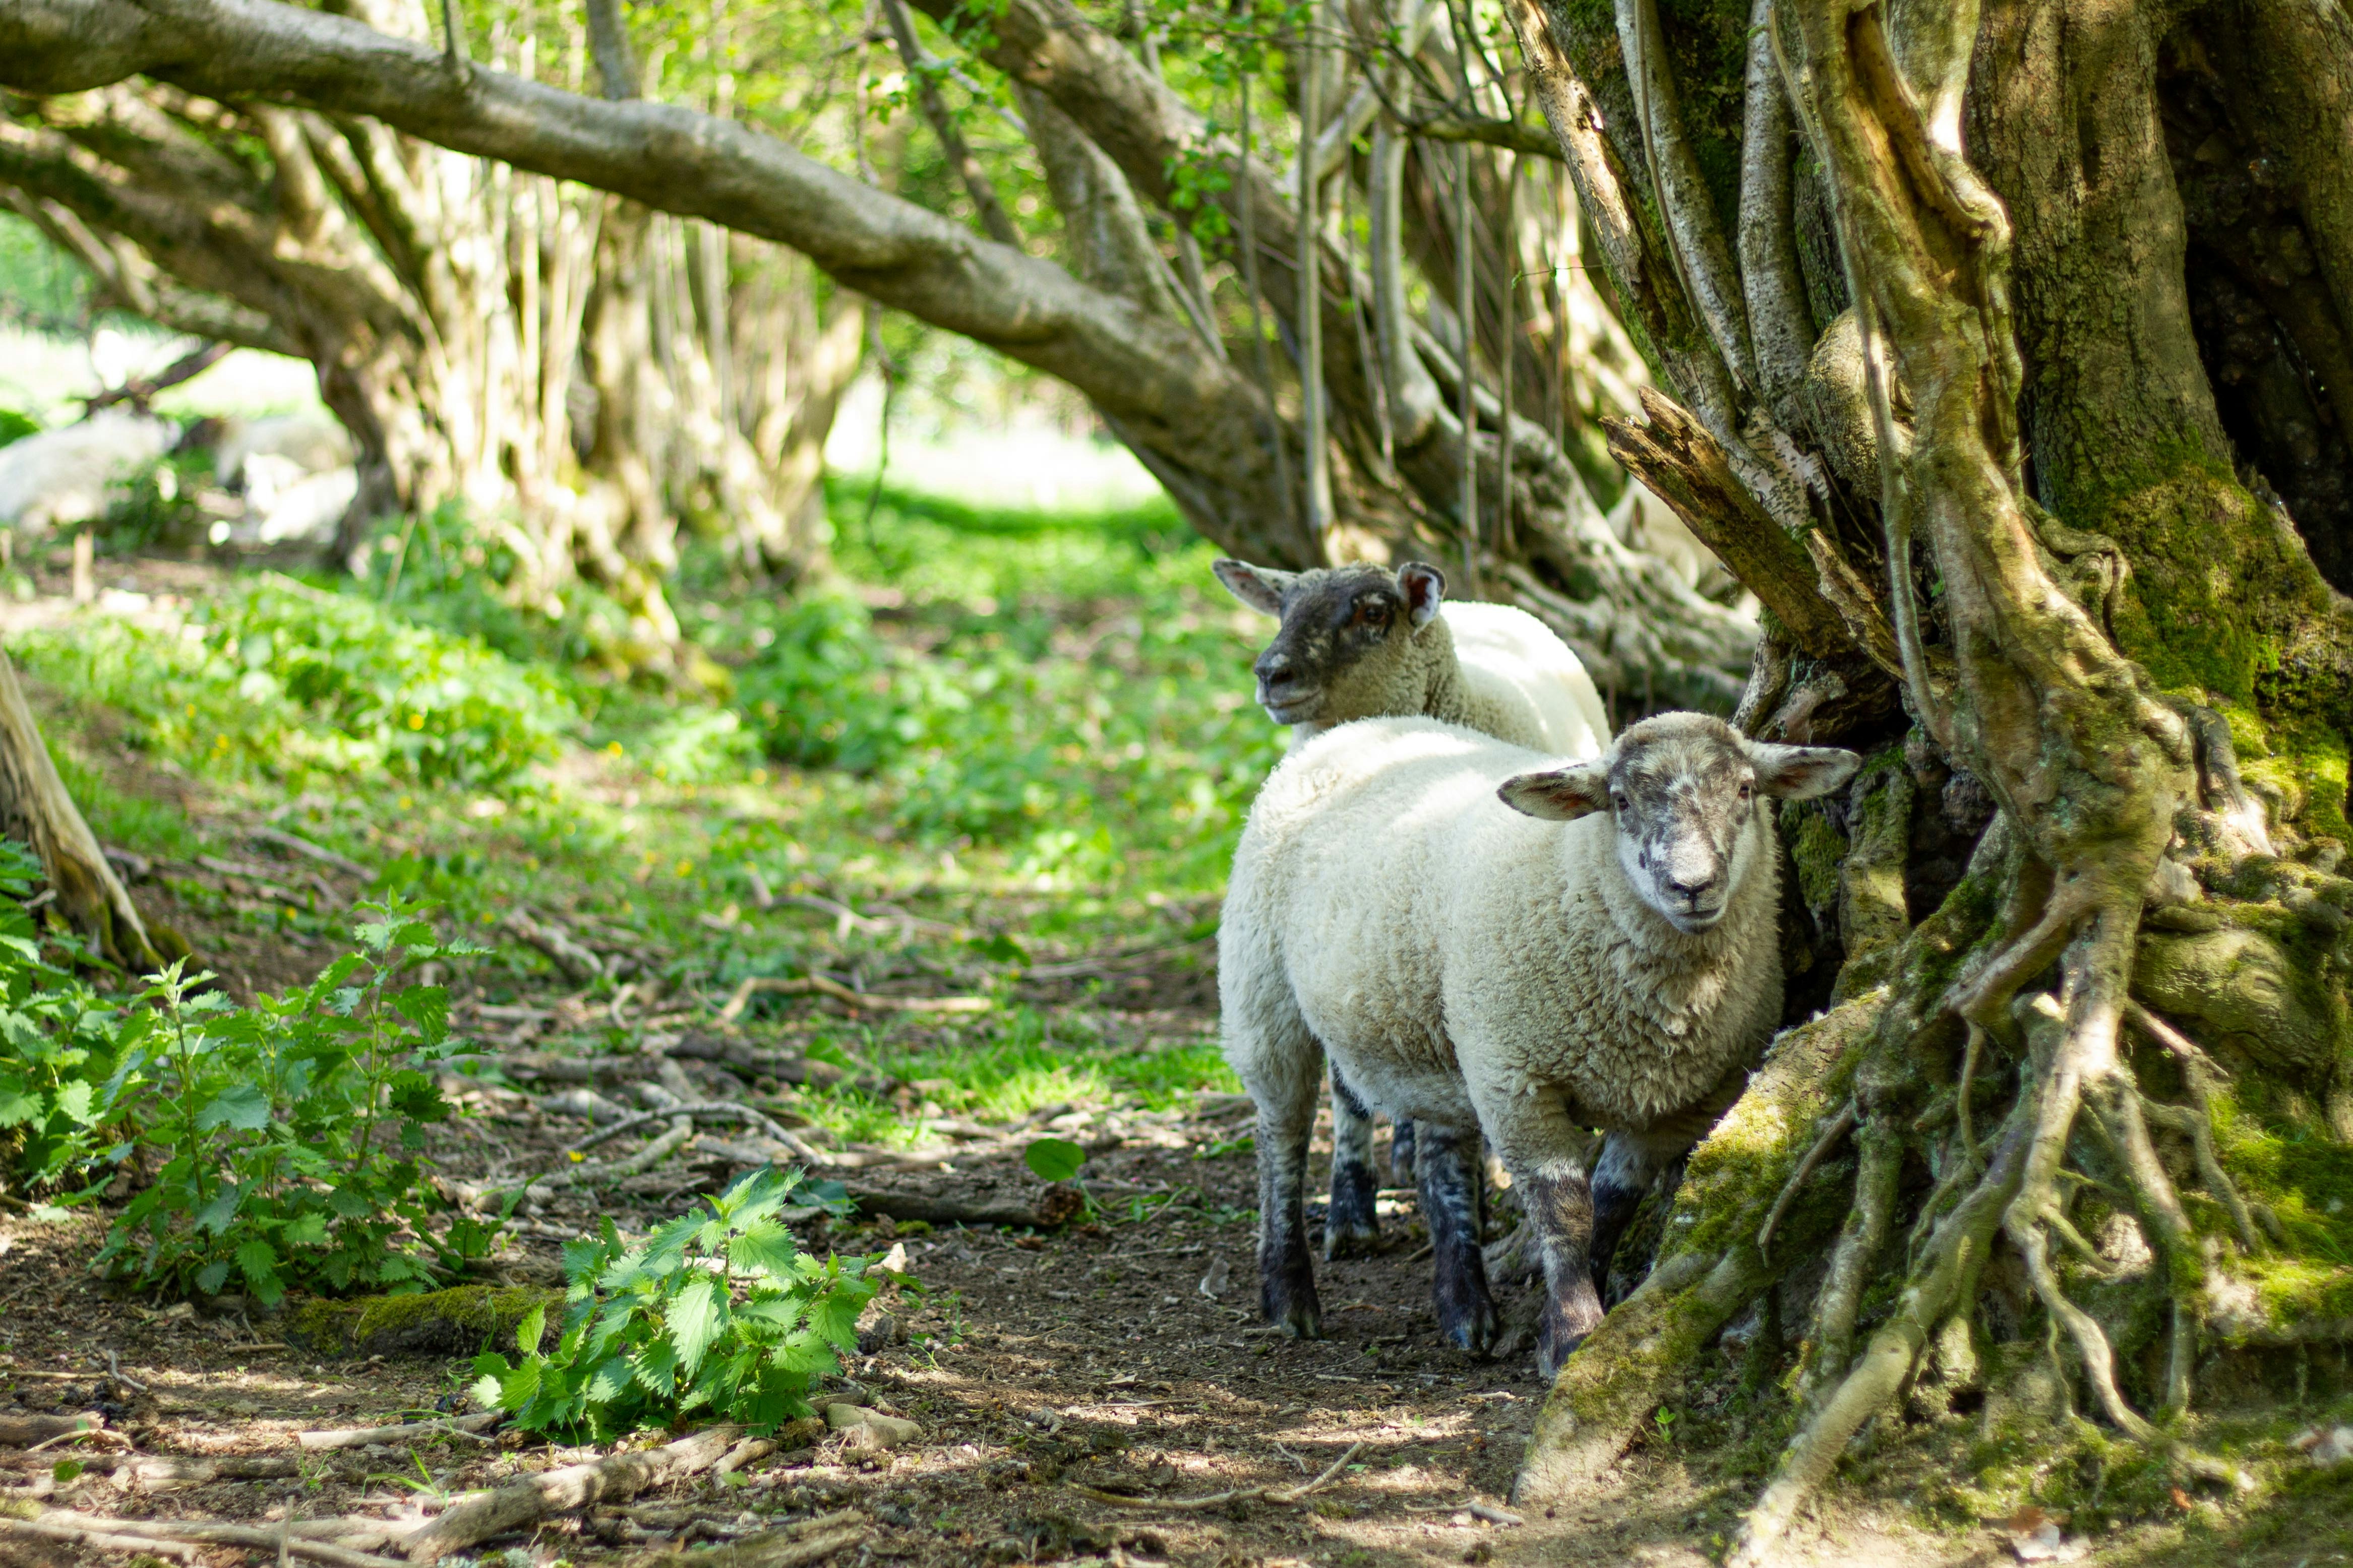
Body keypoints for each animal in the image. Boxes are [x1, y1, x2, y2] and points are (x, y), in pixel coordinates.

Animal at [1212, 556, 1613, 1257]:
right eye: (1282, 607)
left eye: (1374, 613)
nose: (1270, 673)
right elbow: (1346, 1092)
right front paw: (1350, 1211)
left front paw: (1470, 1199)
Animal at [1220, 712, 1857, 1374]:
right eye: (1620, 801)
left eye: (1743, 790)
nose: (1691, 886)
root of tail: (1360, 725)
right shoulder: (1518, 1079)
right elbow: (1565, 1210)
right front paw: (1571, 1337)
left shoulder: (1687, 1101)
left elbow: (1612, 1203)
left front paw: (1585, 1330)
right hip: (1261, 986)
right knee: (1281, 1139)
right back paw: (1288, 1295)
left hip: (1444, 1031)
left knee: (1441, 1159)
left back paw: (1463, 1308)